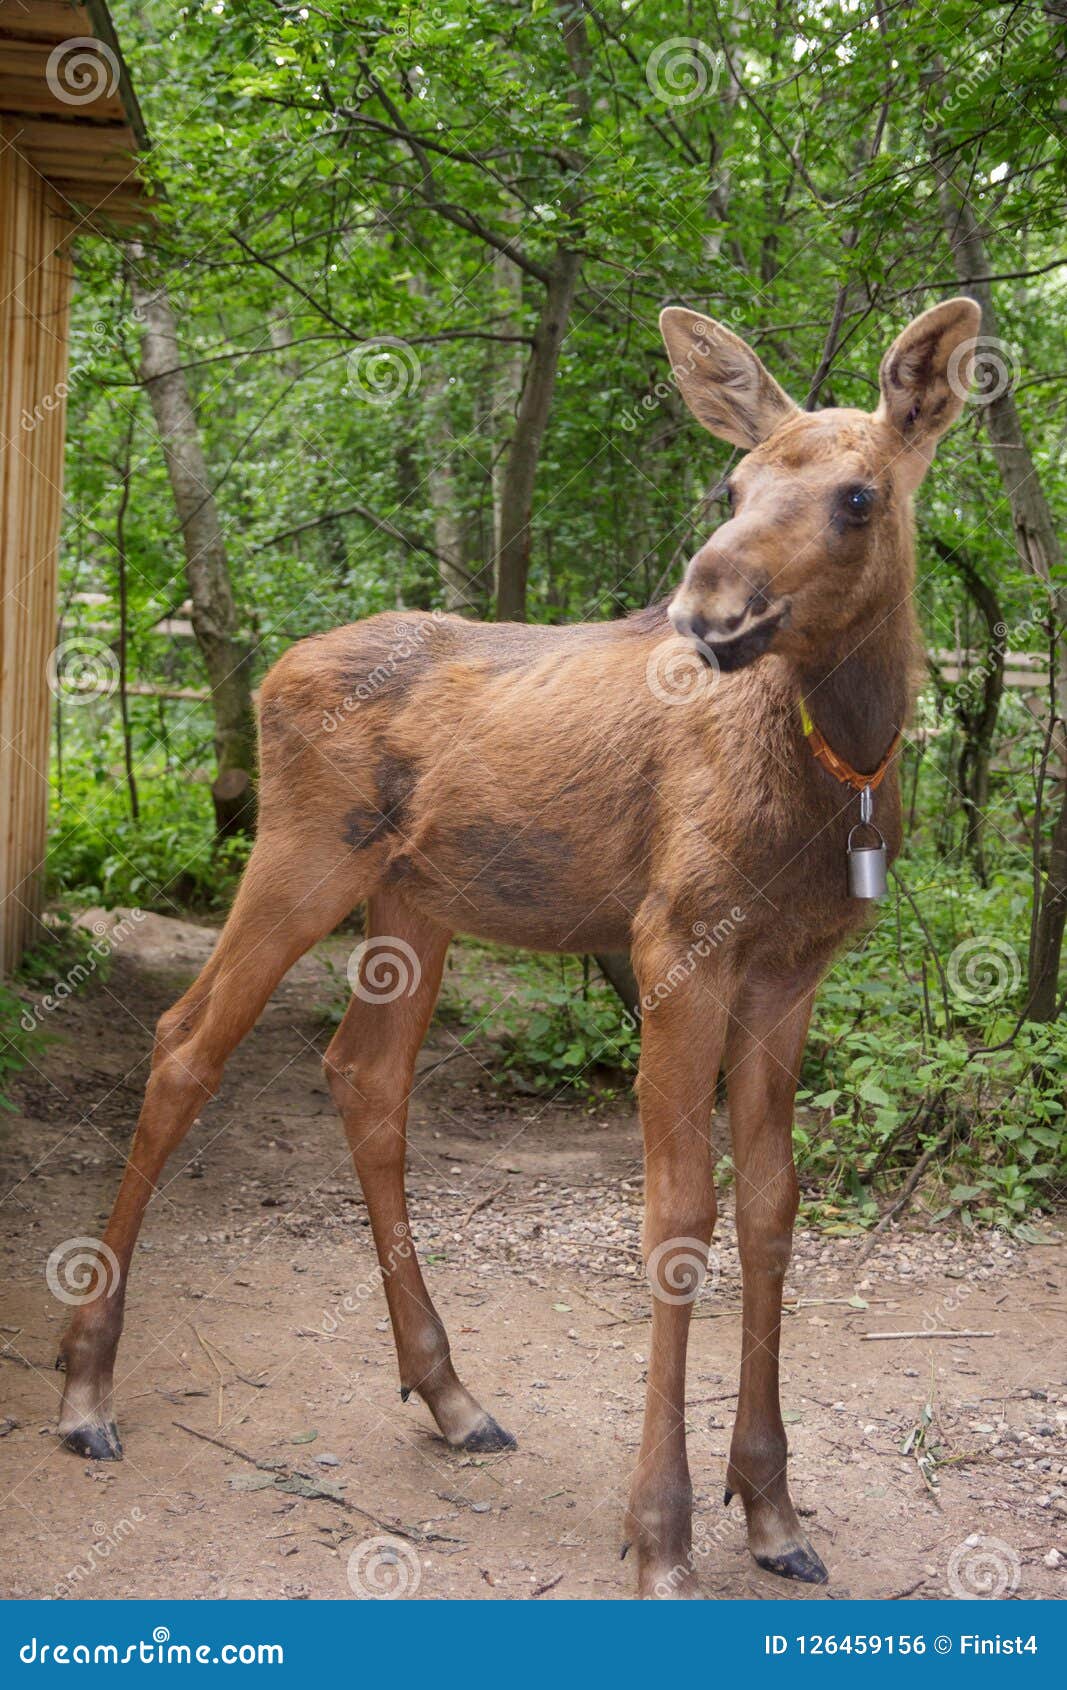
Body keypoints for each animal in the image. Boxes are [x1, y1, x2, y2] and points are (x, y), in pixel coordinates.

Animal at [55, 297, 979, 1598]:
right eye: (731, 481)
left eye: (858, 495)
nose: (706, 612)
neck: (839, 772)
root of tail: (273, 673)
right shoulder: (673, 937)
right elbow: (678, 1213)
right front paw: (659, 1534)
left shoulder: (792, 969)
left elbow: (772, 1206)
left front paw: (771, 1507)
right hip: (301, 853)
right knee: (186, 1040)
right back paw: (85, 1382)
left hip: (415, 901)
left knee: (362, 1073)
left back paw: (447, 1389)